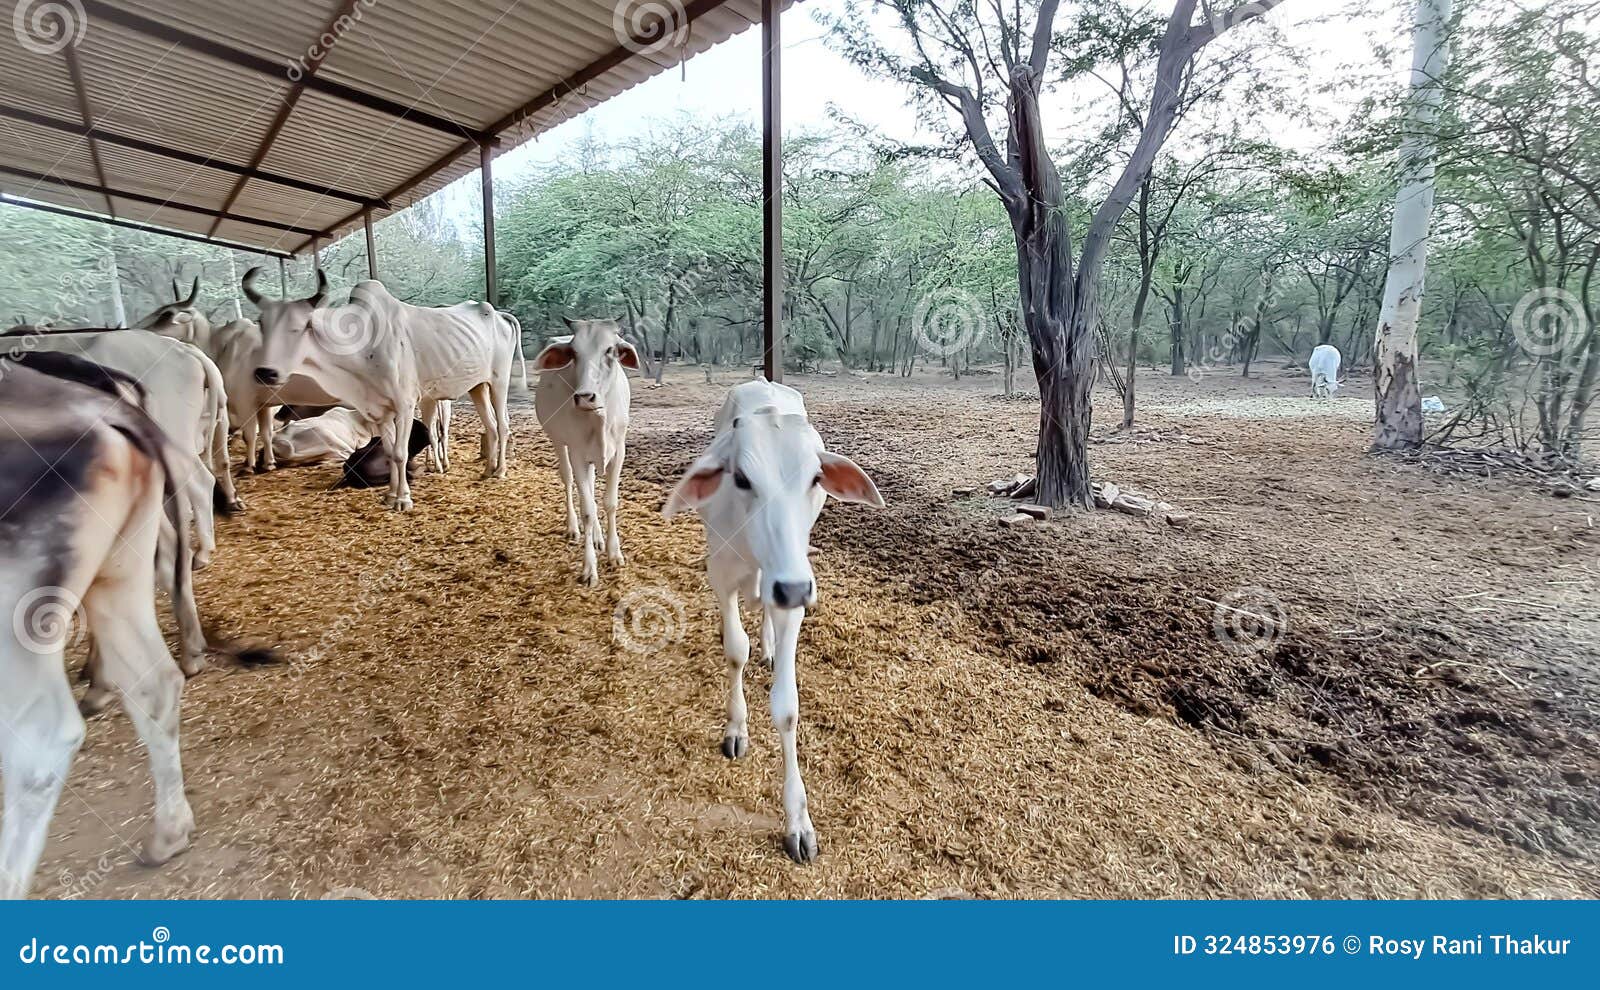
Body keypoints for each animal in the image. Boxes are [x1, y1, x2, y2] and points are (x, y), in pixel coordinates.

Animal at [244, 269, 517, 510]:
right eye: (261, 324)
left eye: (302, 326)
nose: (266, 372)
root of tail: (497, 314)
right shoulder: (381, 410)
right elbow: (388, 450)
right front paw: (390, 495)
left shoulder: (405, 405)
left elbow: (399, 453)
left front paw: (403, 499)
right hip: (478, 387)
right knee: (491, 427)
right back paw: (488, 470)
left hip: (499, 381)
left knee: (503, 425)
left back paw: (501, 471)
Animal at [533, 320, 639, 586]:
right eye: (573, 353)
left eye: (610, 350)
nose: (584, 397)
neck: (598, 418)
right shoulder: (577, 453)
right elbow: (588, 511)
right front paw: (590, 568)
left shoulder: (619, 452)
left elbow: (610, 503)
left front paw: (614, 553)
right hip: (558, 442)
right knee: (569, 480)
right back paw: (573, 528)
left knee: (590, 487)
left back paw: (599, 538)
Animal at [663, 379, 885, 863]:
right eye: (742, 479)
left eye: (815, 478)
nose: (794, 588)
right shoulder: (720, 576)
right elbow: (734, 652)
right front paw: (736, 728)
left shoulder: (792, 589)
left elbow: (787, 707)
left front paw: (798, 821)